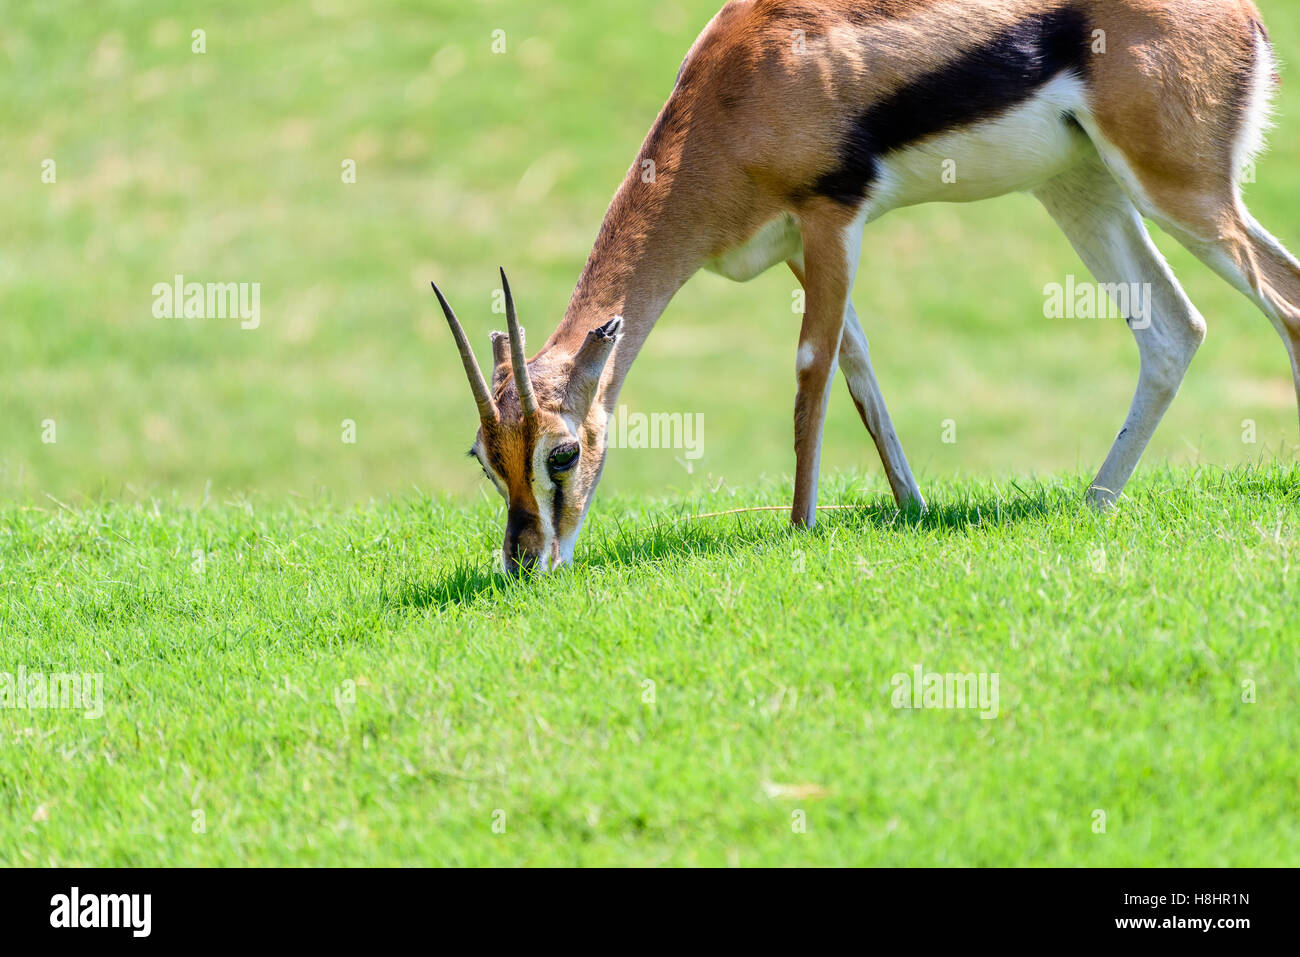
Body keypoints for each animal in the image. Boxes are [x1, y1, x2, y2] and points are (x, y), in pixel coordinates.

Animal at [434, 0, 1298, 574]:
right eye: (483, 456)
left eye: (562, 452)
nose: (524, 560)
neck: (737, 87)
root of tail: (1244, 14)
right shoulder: (793, 246)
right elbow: (857, 366)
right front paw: (912, 506)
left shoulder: (832, 220)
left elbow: (812, 370)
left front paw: (799, 526)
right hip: (1080, 187)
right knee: (1174, 330)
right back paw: (1092, 502)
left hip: (1179, 191)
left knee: (1283, 302)